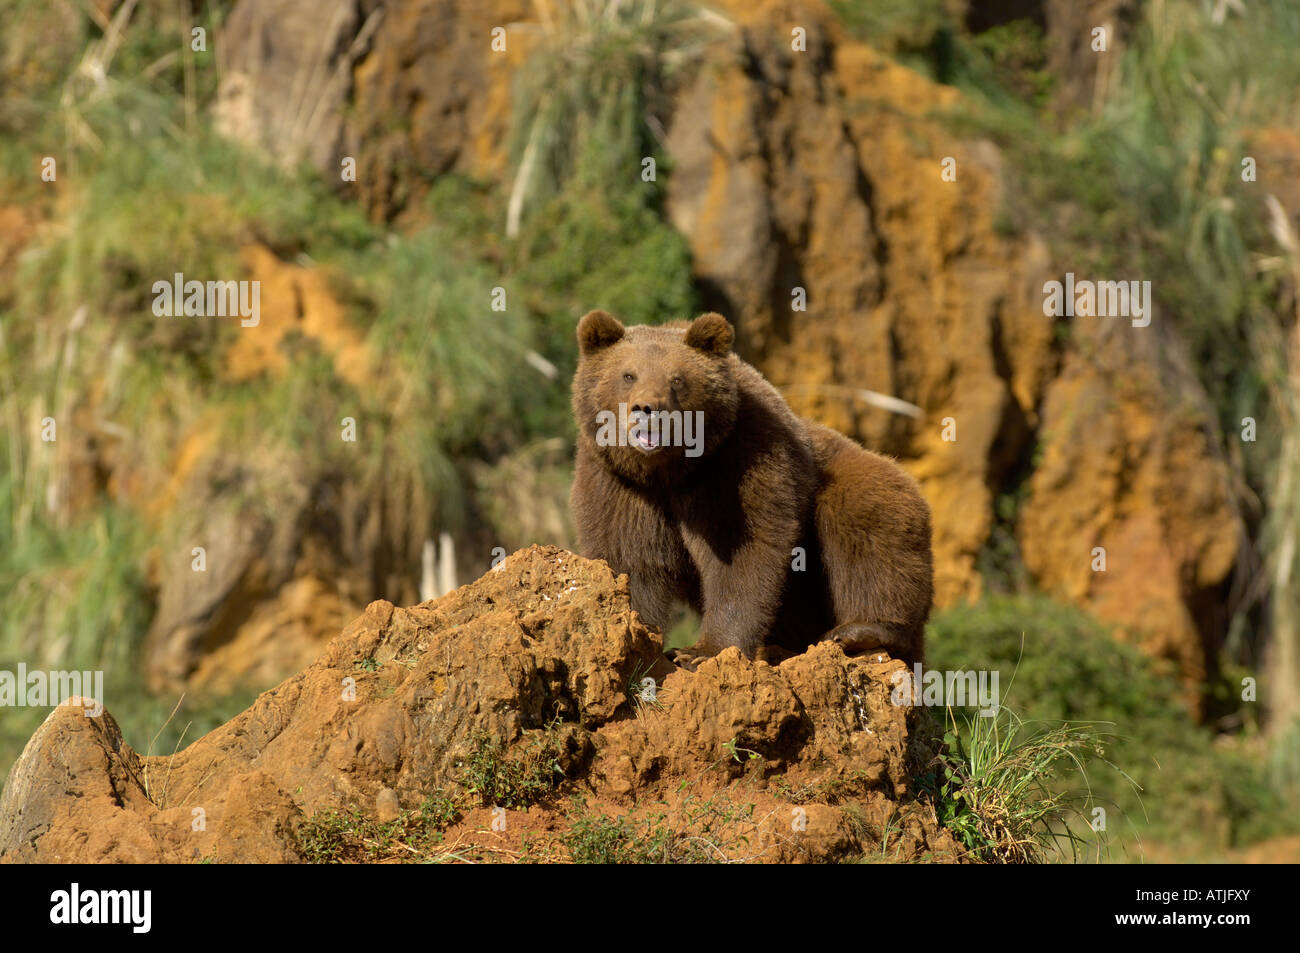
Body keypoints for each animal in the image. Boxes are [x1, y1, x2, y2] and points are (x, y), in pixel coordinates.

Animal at [570, 309, 933, 670]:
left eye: (677, 379)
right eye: (628, 375)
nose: (648, 409)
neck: (669, 470)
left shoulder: (737, 460)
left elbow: (742, 555)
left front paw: (700, 651)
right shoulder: (618, 481)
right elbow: (630, 560)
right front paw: (640, 637)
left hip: (852, 478)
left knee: (867, 523)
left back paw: (861, 630)